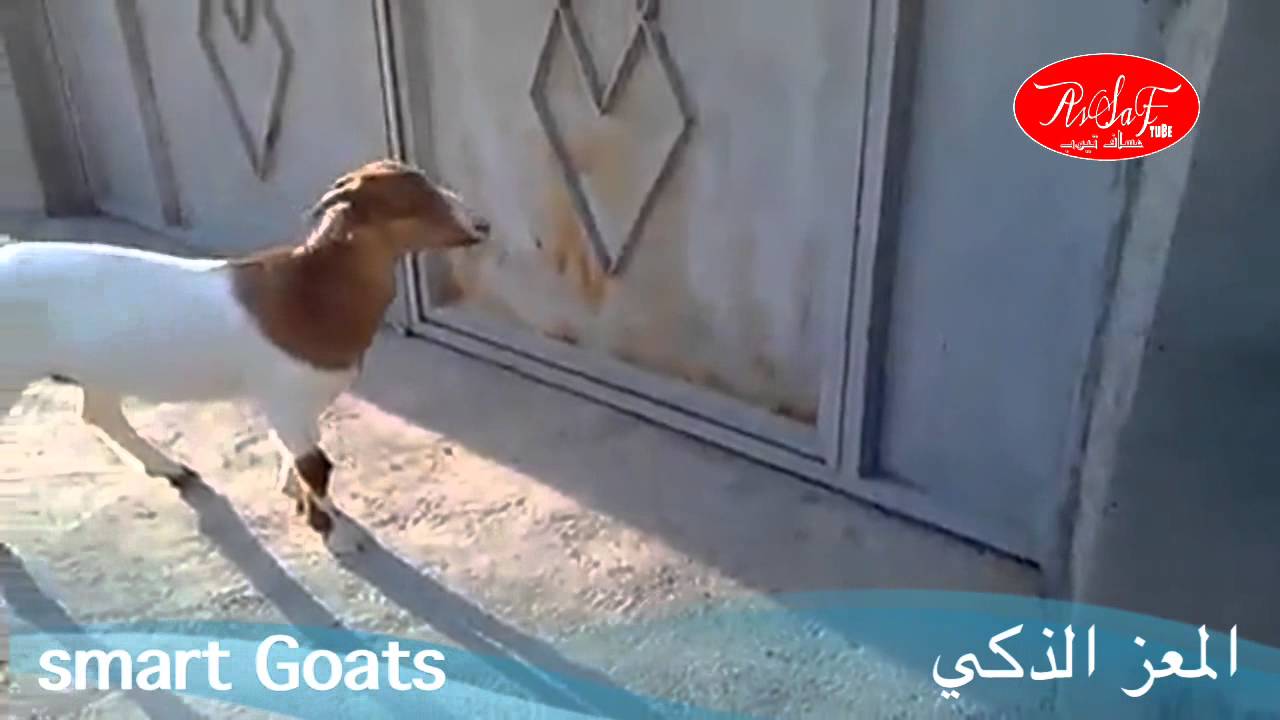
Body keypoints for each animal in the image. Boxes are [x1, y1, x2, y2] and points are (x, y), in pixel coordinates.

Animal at [0, 159, 489, 553]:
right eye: (411, 201)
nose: (482, 225)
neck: (308, 293)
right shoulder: (285, 396)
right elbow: (317, 465)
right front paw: (337, 533)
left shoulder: (295, 400)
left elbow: (301, 452)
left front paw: (297, 496)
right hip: (11, 372)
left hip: (98, 365)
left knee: (99, 412)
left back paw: (173, 469)